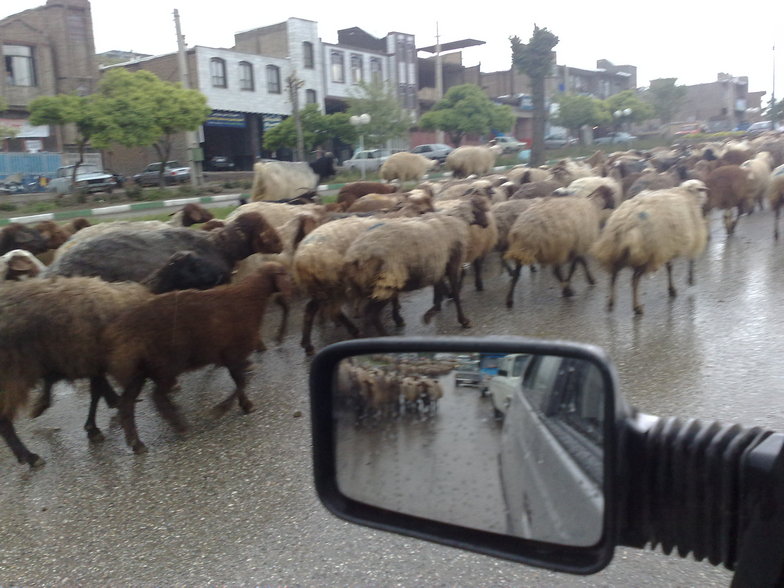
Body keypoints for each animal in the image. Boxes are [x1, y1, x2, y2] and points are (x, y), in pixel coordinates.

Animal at [105, 262, 292, 454]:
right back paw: (179, 426)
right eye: (284, 273)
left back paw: (137, 443)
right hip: (166, 364)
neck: (250, 299)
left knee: (128, 404)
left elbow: (240, 382)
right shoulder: (234, 354)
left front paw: (245, 405)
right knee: (156, 397)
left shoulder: (229, 357)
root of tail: (125, 331)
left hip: (141, 371)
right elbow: (242, 382)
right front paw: (221, 409)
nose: (291, 289)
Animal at [588, 180, 712, 314]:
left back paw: (611, 302)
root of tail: (625, 223)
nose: (707, 199)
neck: (687, 195)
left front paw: (671, 288)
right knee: (634, 280)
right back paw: (636, 306)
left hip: (616, 252)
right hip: (644, 255)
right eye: (702, 189)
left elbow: (669, 267)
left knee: (613, 276)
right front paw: (678, 286)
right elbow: (675, 265)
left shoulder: (666, 247)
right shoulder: (667, 247)